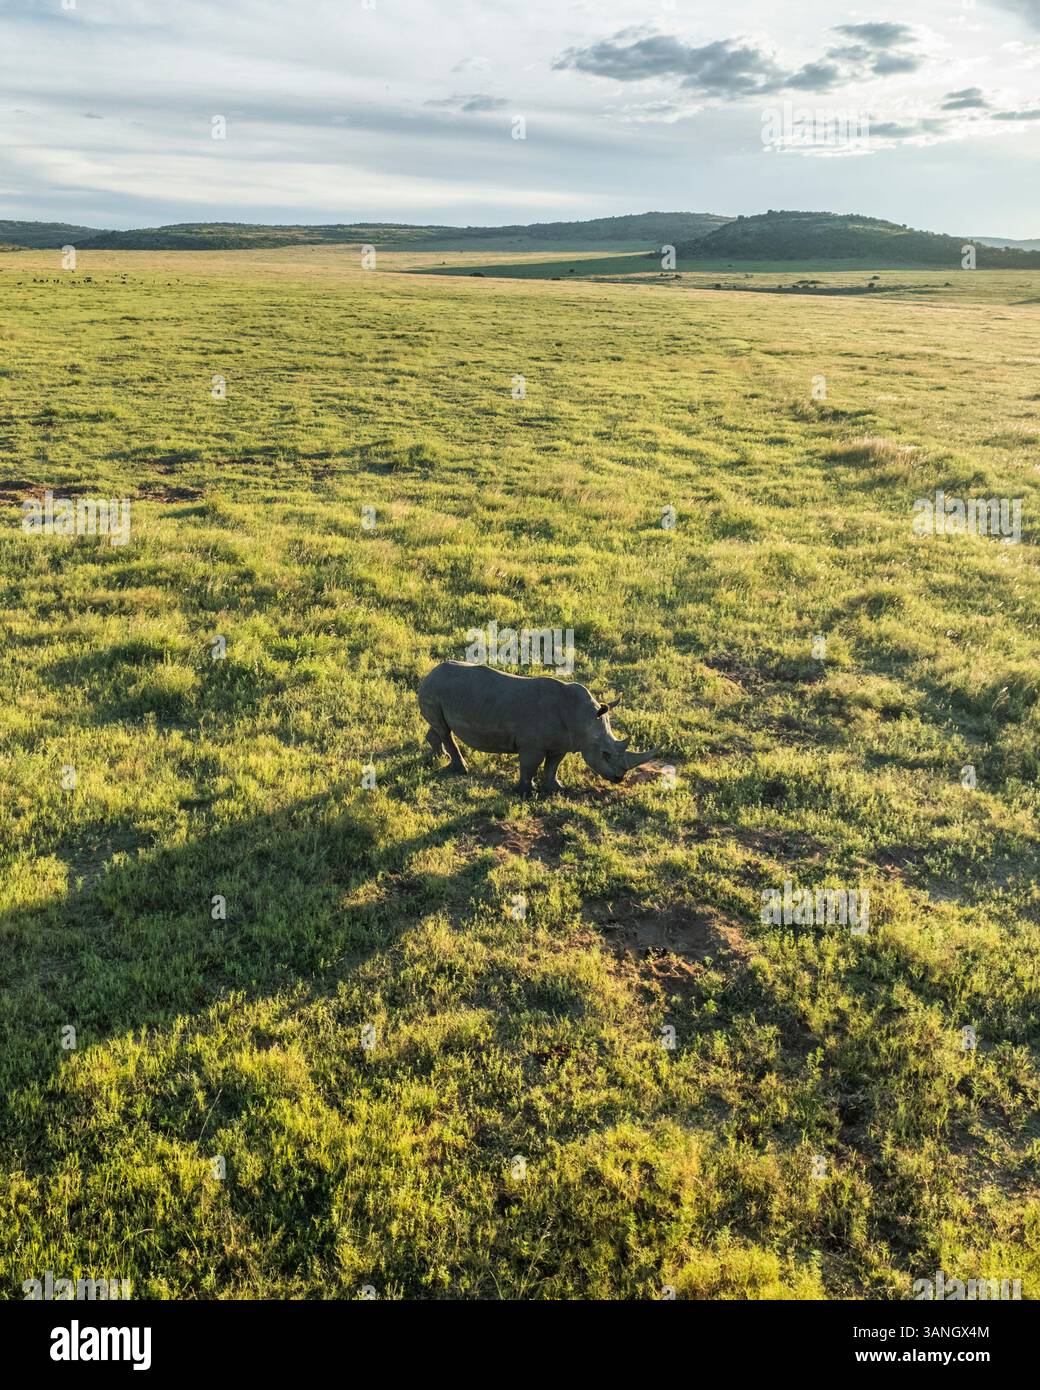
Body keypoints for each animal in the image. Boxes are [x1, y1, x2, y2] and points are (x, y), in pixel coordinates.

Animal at [418, 660, 656, 796]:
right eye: (605, 754)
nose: (619, 778)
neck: (583, 718)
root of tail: (431, 671)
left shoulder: (562, 743)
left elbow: (553, 766)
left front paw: (557, 788)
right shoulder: (532, 745)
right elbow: (530, 765)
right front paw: (526, 792)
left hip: (442, 691)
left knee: (439, 727)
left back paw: (440, 757)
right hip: (434, 688)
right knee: (445, 730)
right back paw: (460, 768)